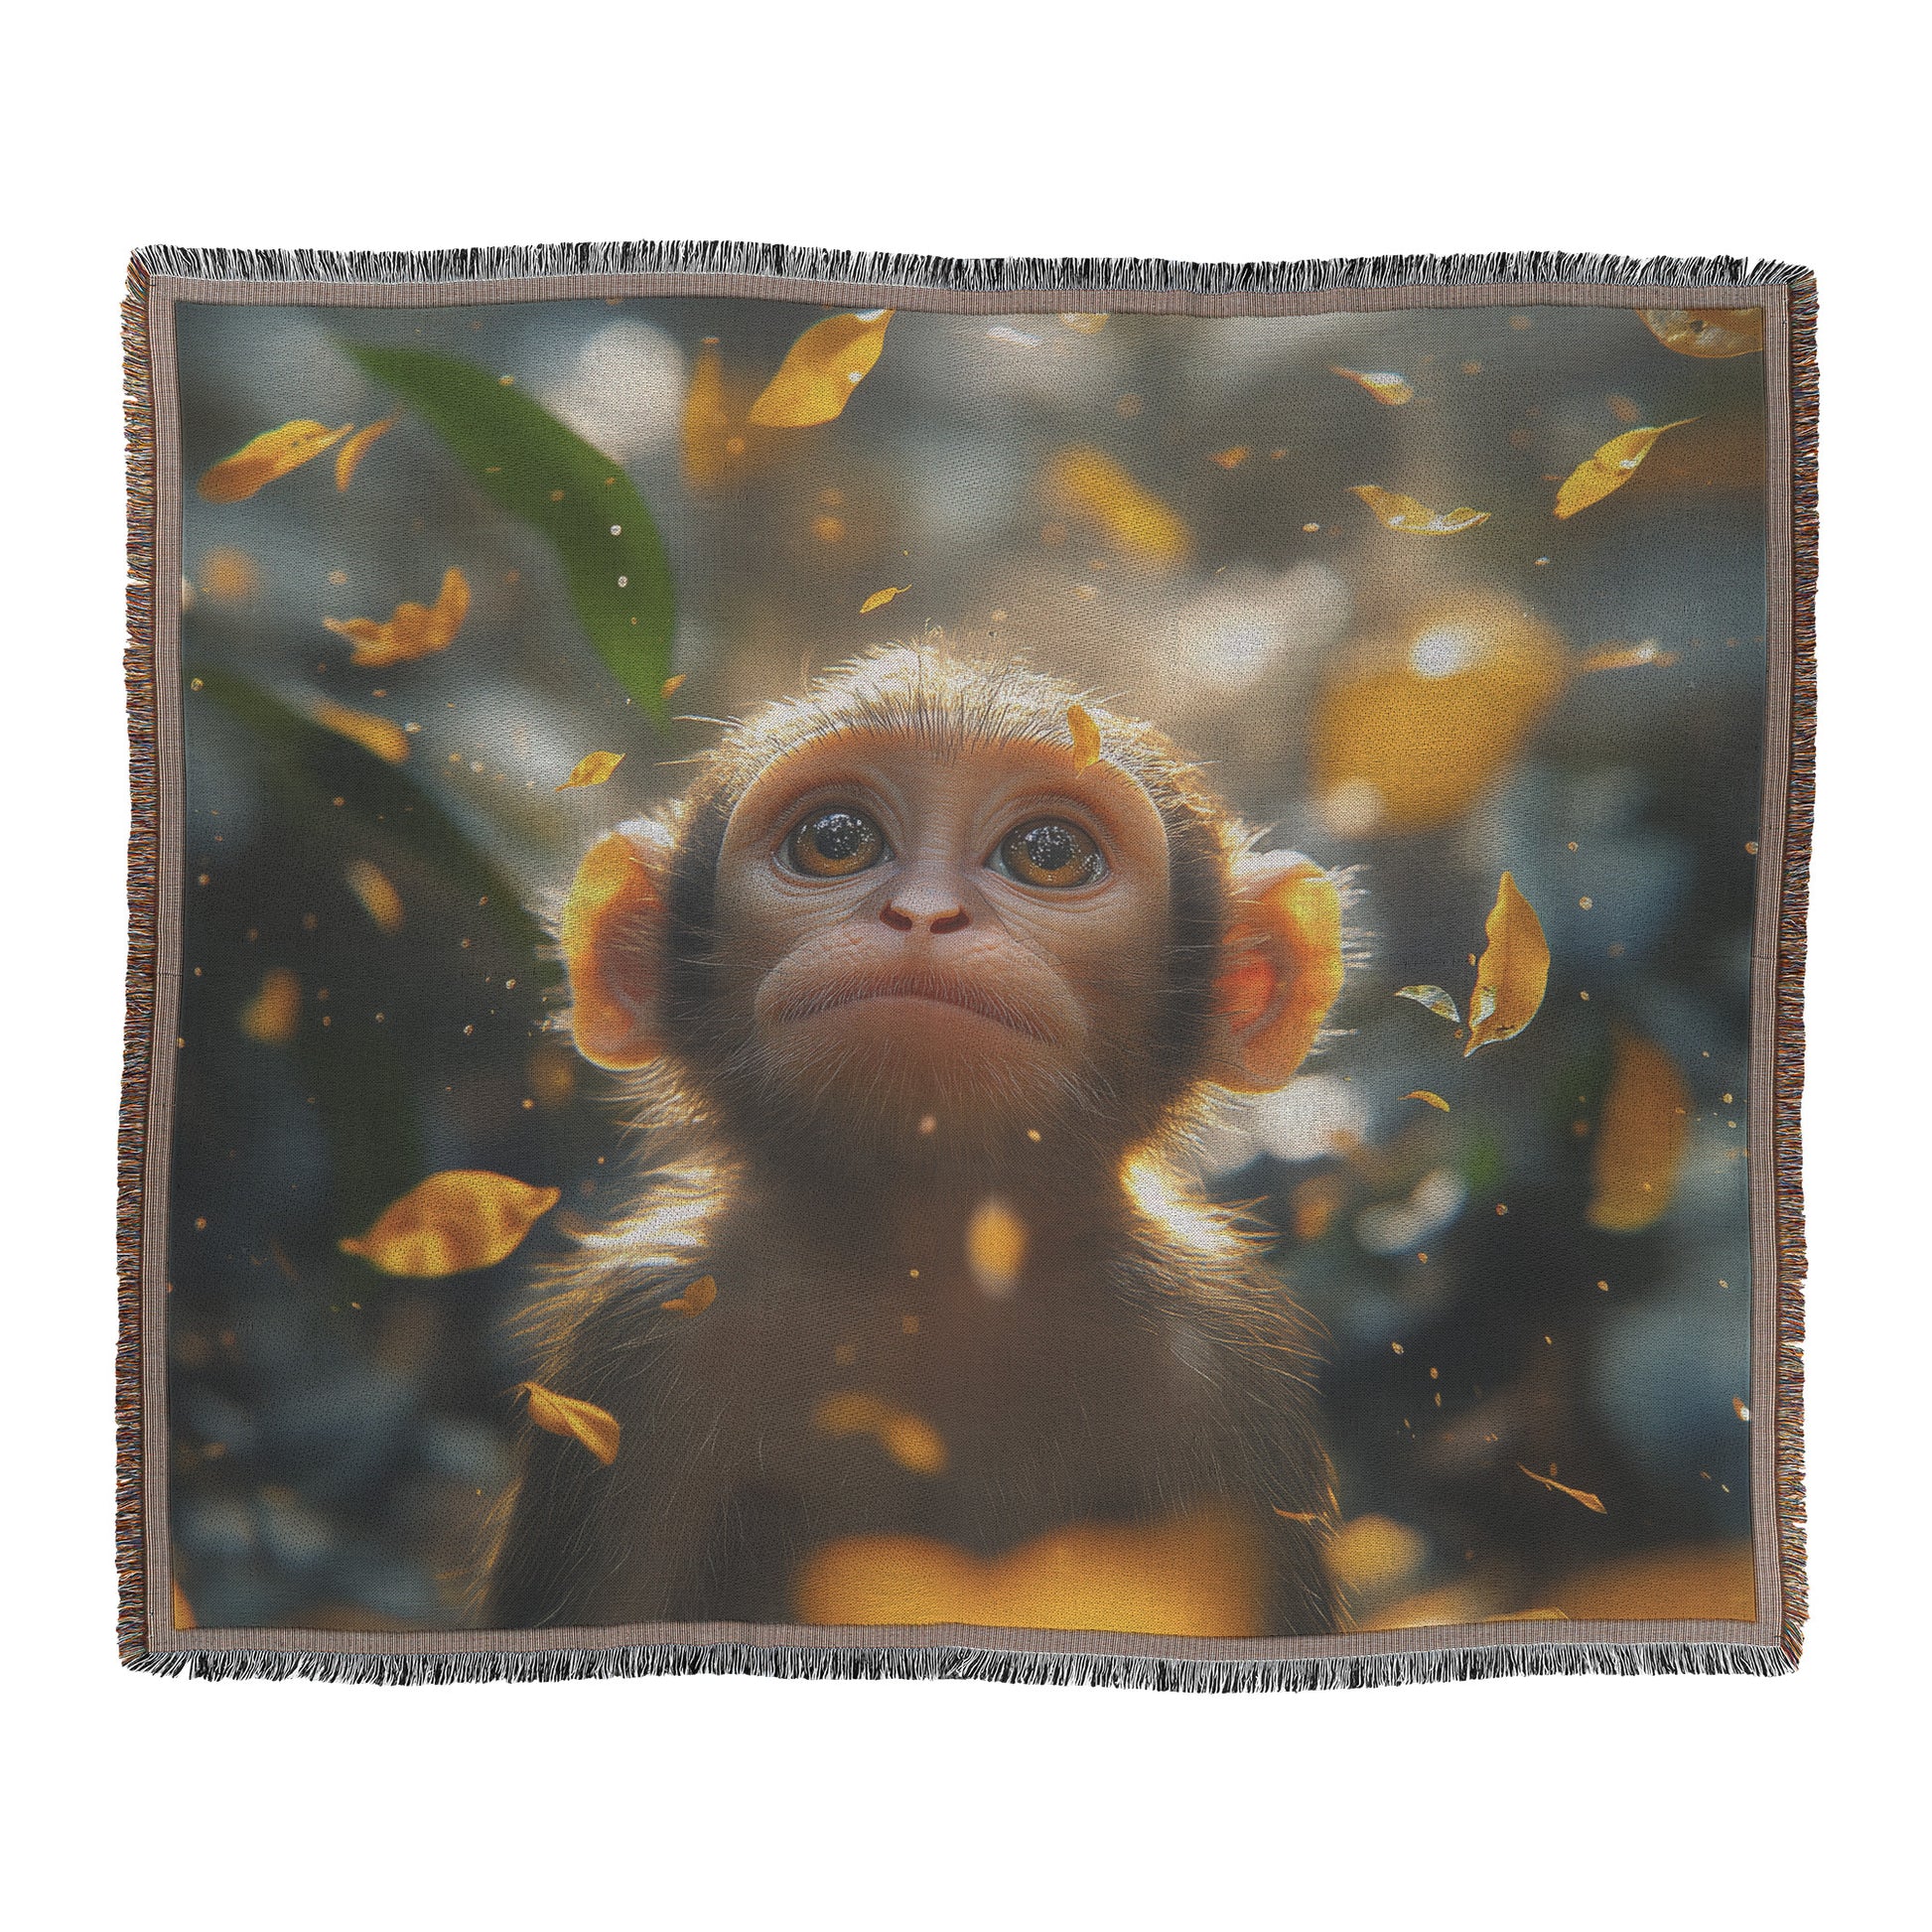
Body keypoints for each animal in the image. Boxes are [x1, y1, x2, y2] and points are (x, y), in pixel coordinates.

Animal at [485, 643, 1349, 1639]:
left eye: (1049, 854)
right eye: (836, 839)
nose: (925, 913)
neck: (933, 1273)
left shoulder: (1225, 1367)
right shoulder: (639, 1338)